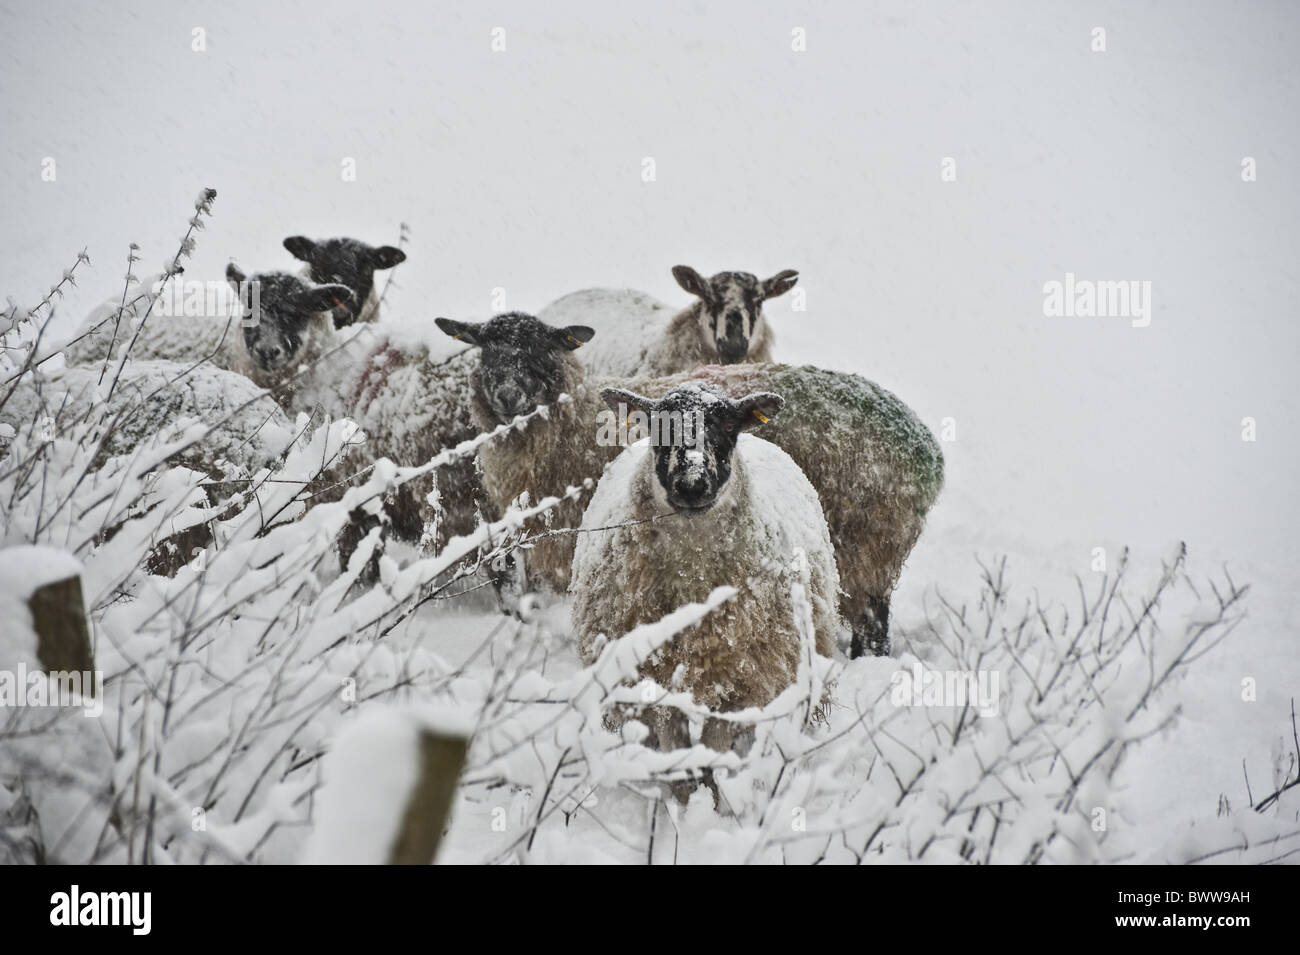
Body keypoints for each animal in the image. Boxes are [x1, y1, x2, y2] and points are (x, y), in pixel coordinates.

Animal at [435, 312, 944, 657]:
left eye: (542, 350)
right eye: (485, 349)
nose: (507, 395)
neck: (568, 420)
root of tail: (927, 449)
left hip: (868, 548)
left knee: (873, 628)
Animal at [569, 383, 842, 755]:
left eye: (728, 426)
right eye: (657, 427)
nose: (692, 485)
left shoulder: (745, 684)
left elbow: (713, 749)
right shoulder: (656, 683)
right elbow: (675, 748)